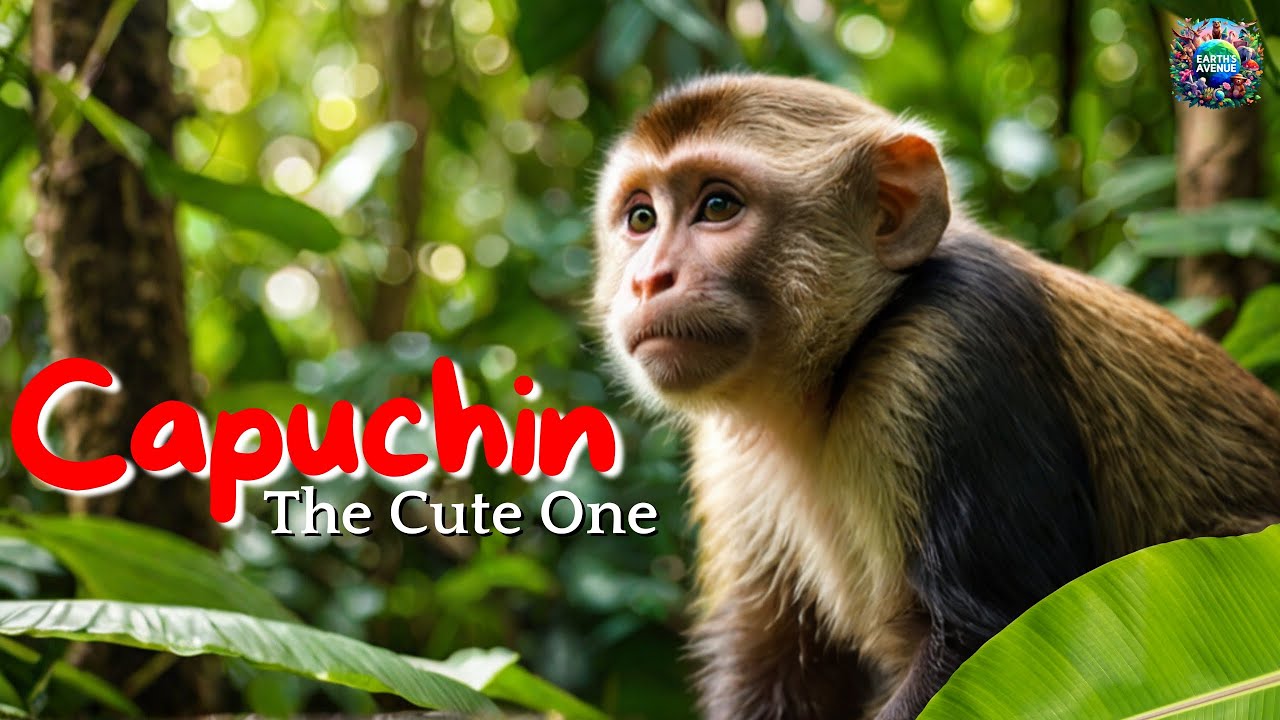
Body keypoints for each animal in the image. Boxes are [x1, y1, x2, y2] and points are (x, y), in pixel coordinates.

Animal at [590, 73, 1280, 720]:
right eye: (642, 218)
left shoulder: (949, 353)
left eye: (717, 206)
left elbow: (1001, 651)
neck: (835, 377)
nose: (648, 280)